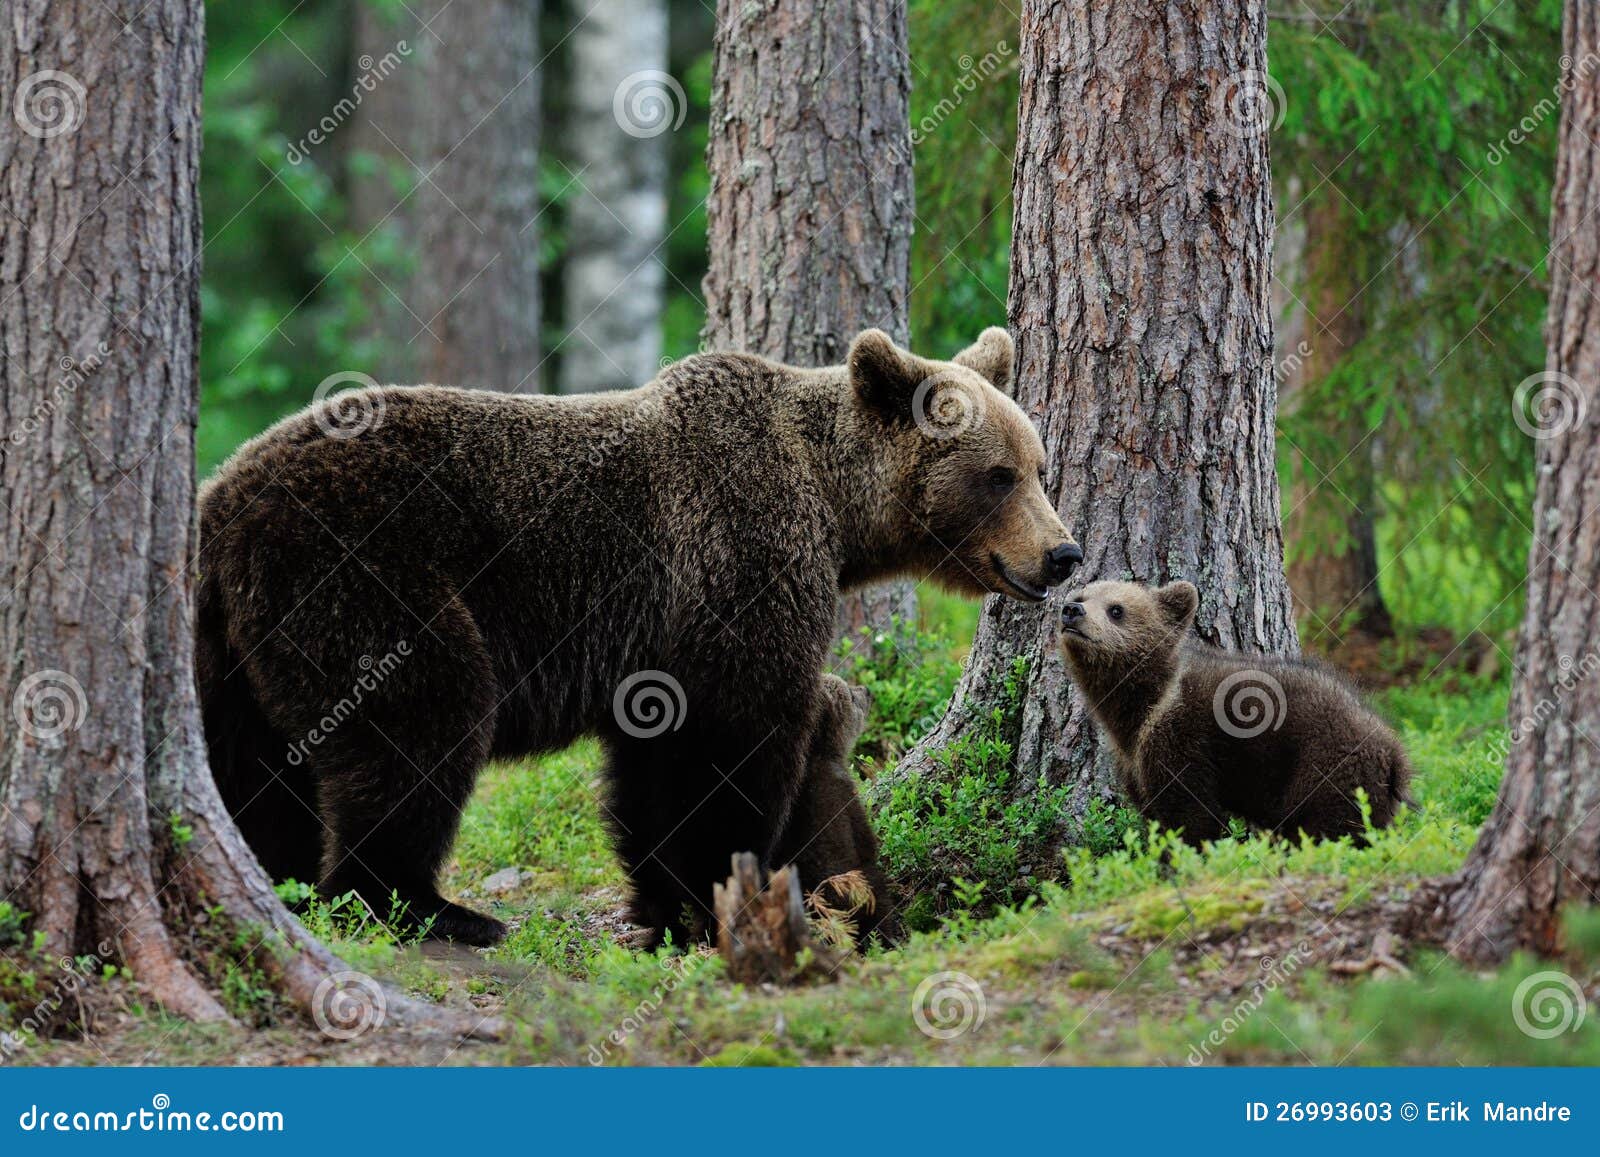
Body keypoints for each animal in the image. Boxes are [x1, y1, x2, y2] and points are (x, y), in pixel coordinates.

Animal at [1056, 579, 1412, 845]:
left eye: (1116, 609)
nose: (1072, 611)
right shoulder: (1133, 761)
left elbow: (1192, 816)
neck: (1136, 709)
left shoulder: (1182, 739)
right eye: (1081, 596)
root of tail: (1394, 753)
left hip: (1325, 768)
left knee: (1329, 830)